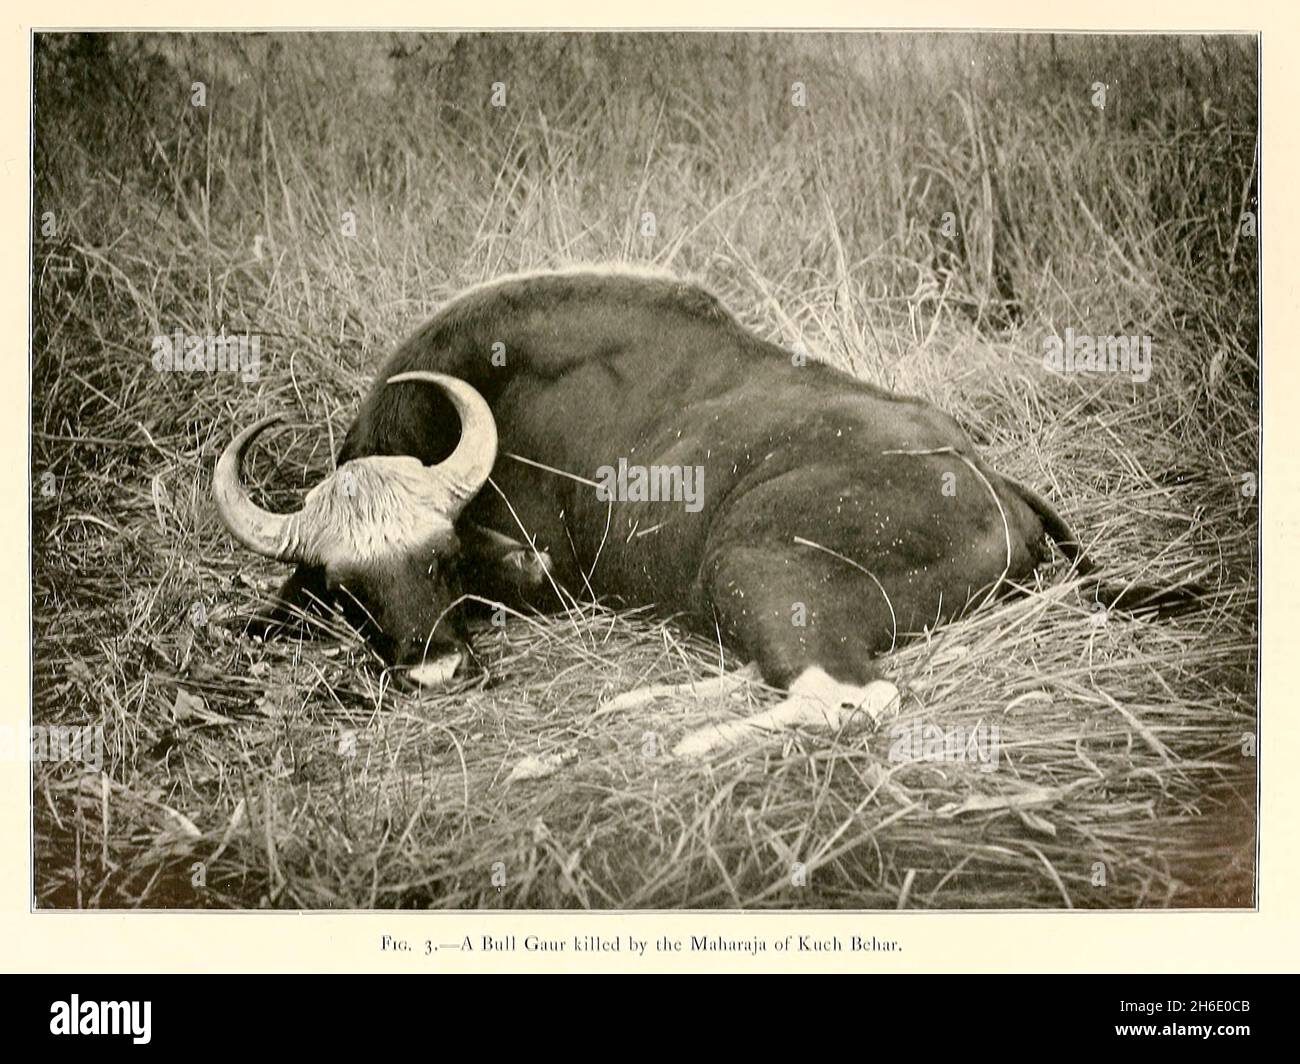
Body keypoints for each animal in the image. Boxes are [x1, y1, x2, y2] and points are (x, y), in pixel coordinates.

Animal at [214, 265, 1199, 757]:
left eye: (442, 559)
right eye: (349, 588)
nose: (436, 674)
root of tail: (989, 478)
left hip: (755, 558)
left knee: (848, 694)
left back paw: (680, 741)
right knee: (787, 669)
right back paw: (643, 701)